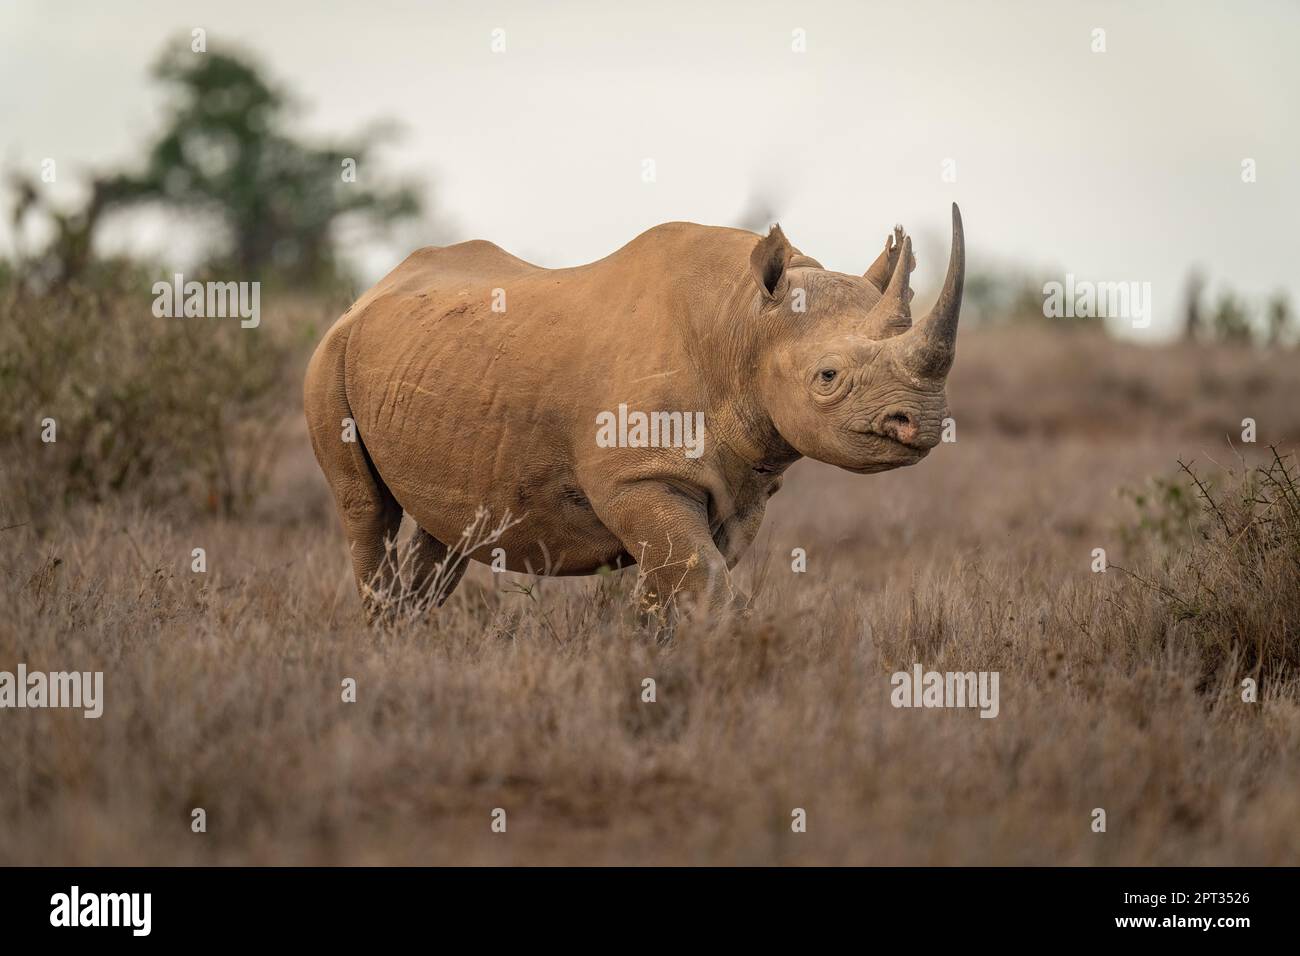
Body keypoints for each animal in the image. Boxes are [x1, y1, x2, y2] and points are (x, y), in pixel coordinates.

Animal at [304, 204, 965, 617]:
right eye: (828, 377)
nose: (924, 421)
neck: (744, 324)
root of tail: (369, 293)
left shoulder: (741, 488)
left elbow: (680, 583)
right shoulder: (639, 475)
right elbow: (704, 583)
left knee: (441, 534)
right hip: (329, 358)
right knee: (366, 511)